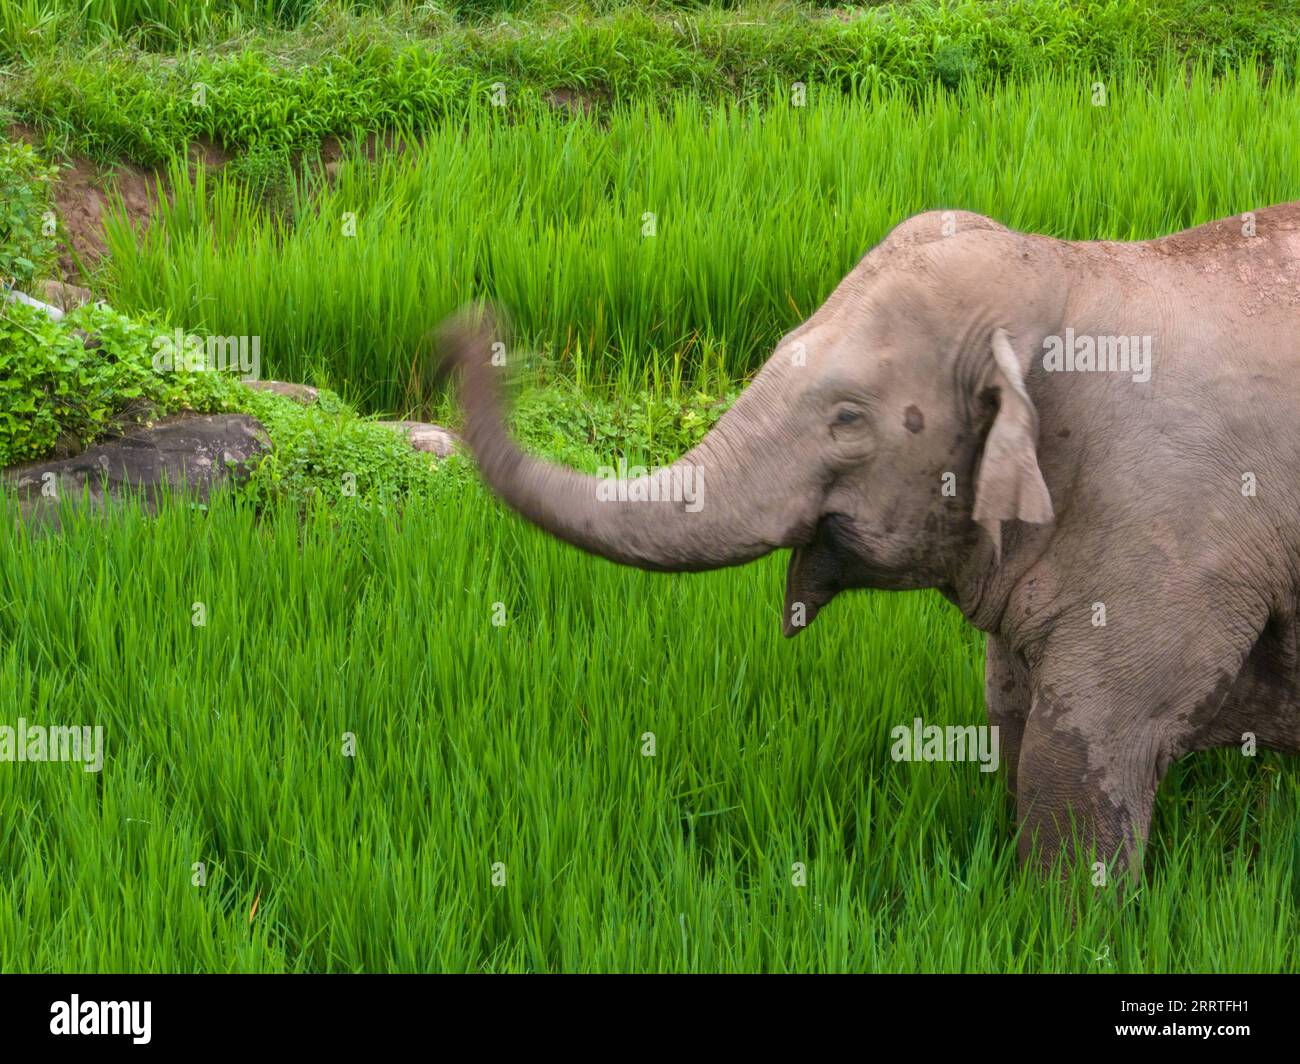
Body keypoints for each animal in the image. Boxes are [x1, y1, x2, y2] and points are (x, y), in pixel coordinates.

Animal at [438, 204, 1300, 879]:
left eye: (848, 418)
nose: (469, 325)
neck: (1071, 266)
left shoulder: (1176, 542)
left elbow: (1080, 758)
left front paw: (1065, 933)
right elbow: (1009, 709)